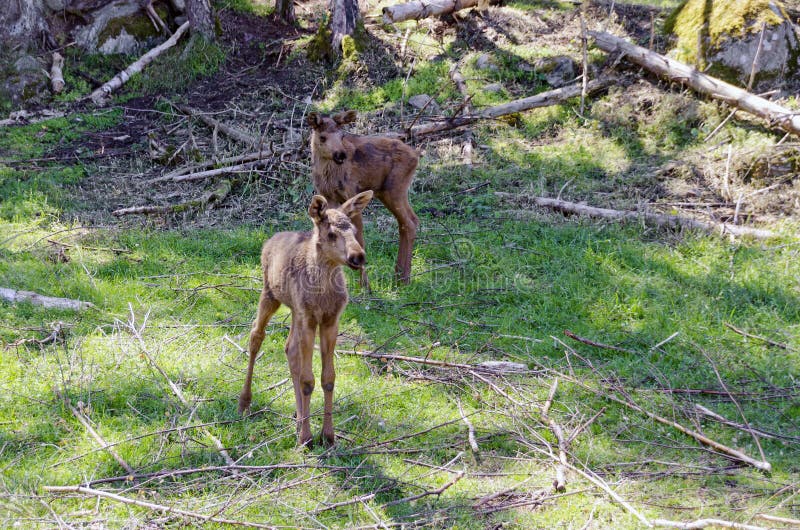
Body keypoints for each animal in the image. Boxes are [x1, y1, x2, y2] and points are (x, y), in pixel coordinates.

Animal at [238, 190, 374, 448]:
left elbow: (328, 378)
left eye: (353, 229)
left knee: (289, 349)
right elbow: (308, 380)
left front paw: (327, 435)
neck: (323, 293)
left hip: (295, 311)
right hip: (270, 295)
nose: (358, 256)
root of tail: (270, 240)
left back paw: (299, 417)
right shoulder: (309, 319)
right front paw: (307, 437)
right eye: (331, 234)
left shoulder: (330, 320)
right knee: (255, 336)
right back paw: (244, 402)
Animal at [307, 110, 419, 288]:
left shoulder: (351, 192)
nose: (340, 155)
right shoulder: (328, 195)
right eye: (322, 137)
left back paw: (402, 278)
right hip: (388, 192)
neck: (328, 175)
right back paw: (400, 276)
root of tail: (416, 156)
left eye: (342, 135)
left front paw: (365, 285)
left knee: (408, 223)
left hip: (394, 189)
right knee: (412, 220)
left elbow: (359, 238)